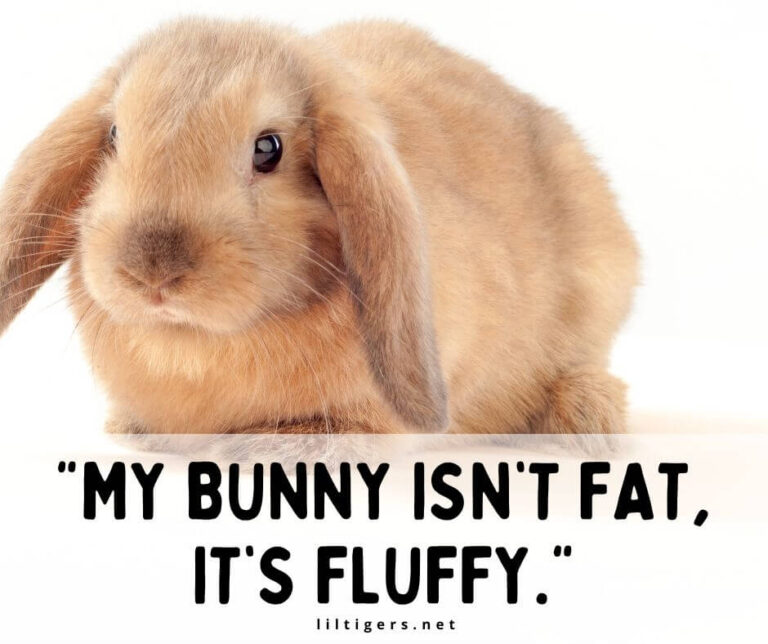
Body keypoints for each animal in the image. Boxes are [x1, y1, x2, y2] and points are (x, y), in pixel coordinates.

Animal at [0, 18, 638, 437]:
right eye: (113, 136)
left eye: (268, 149)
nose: (152, 270)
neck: (194, 345)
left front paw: (279, 448)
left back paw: (585, 416)